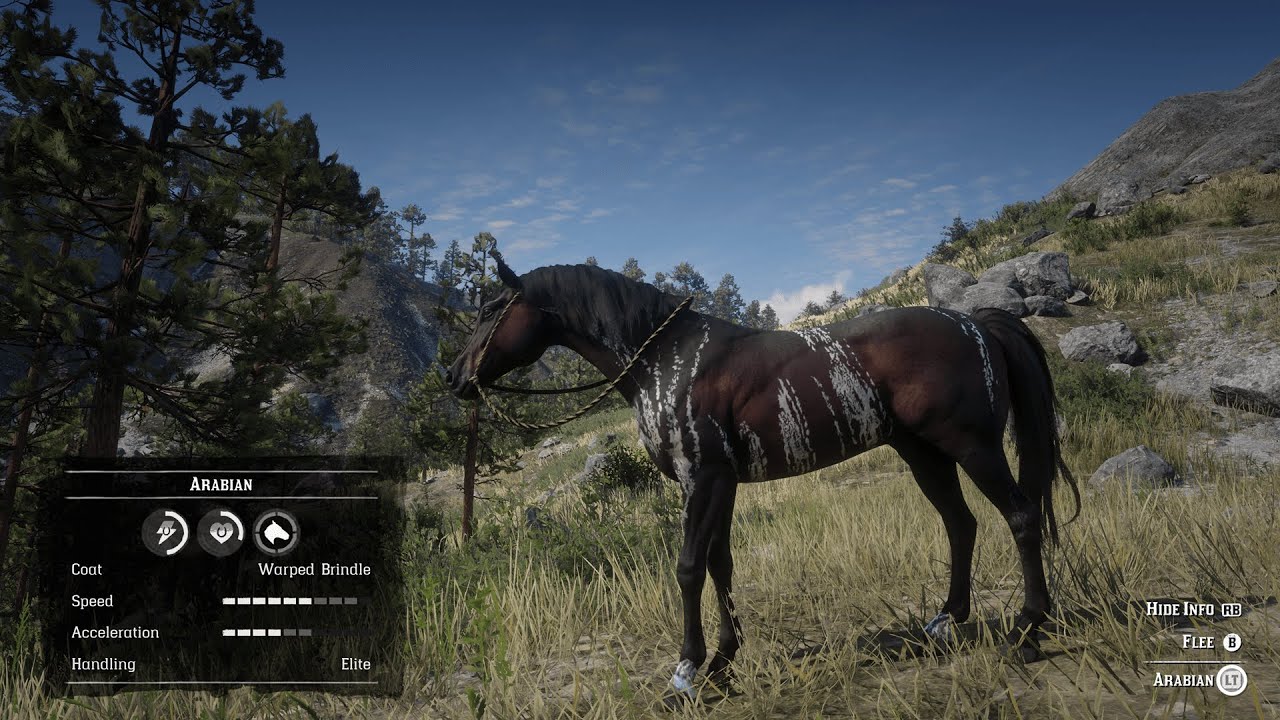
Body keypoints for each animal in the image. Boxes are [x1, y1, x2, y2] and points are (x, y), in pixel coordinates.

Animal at [446, 251, 1080, 701]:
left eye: (488, 310)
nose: (455, 377)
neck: (668, 361)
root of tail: (976, 325)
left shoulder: (702, 477)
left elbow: (688, 569)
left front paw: (687, 671)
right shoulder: (720, 482)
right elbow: (720, 567)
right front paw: (724, 663)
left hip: (972, 447)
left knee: (1020, 517)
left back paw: (1027, 631)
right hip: (924, 454)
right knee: (961, 525)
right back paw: (944, 625)